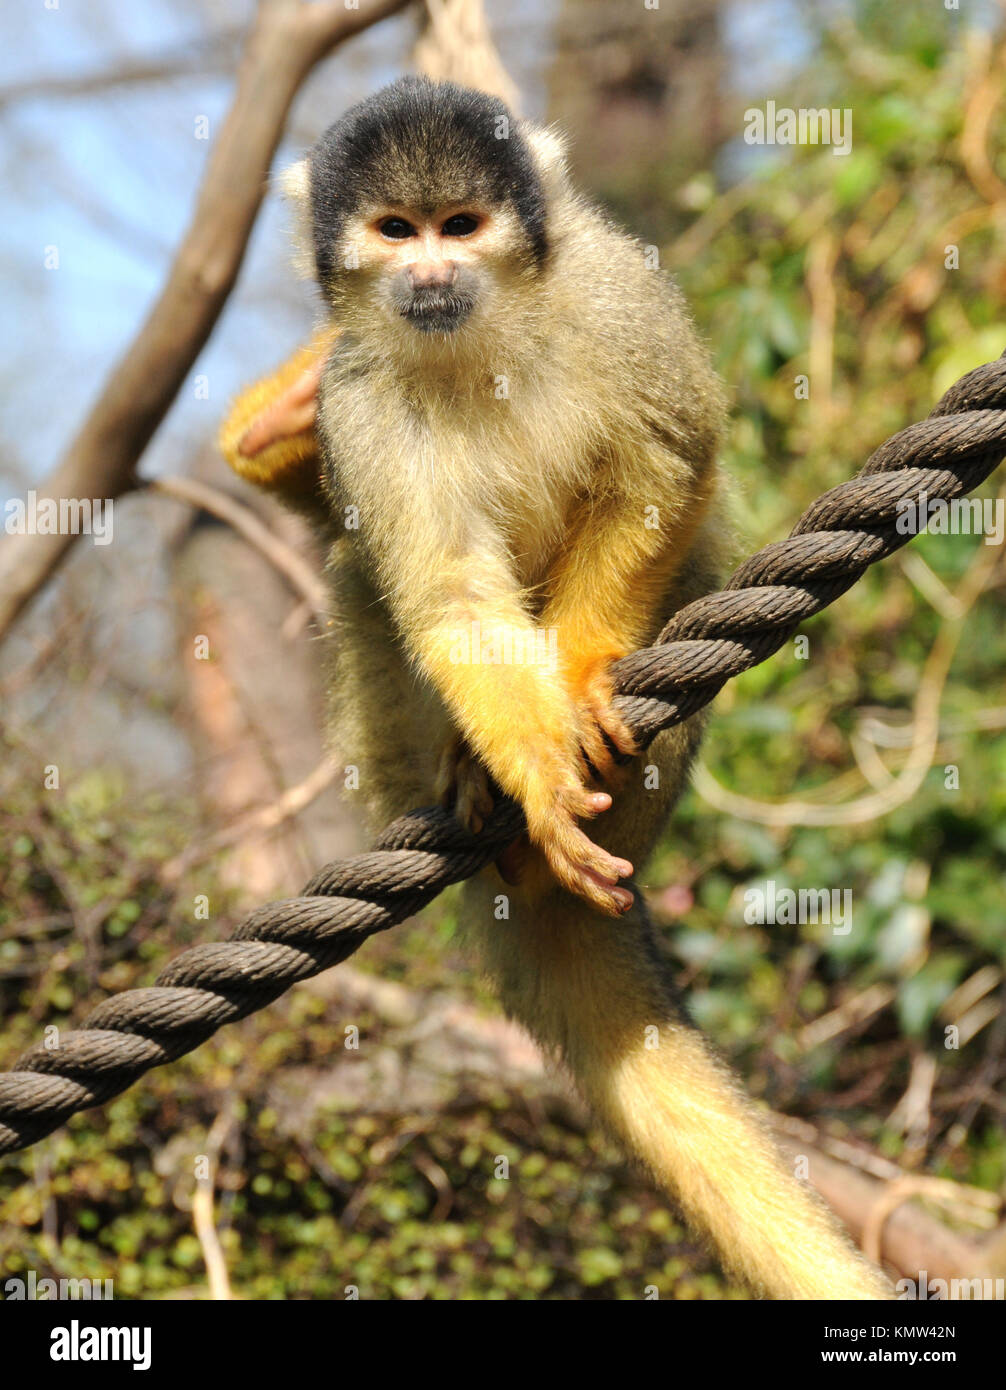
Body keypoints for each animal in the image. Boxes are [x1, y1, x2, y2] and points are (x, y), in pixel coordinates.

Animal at [220, 76, 891, 1300]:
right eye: (397, 231)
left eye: (461, 225)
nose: (433, 273)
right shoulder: (356, 393)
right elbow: (446, 594)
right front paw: (532, 773)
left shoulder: (610, 283)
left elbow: (667, 458)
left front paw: (580, 687)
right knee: (365, 570)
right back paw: (474, 789)